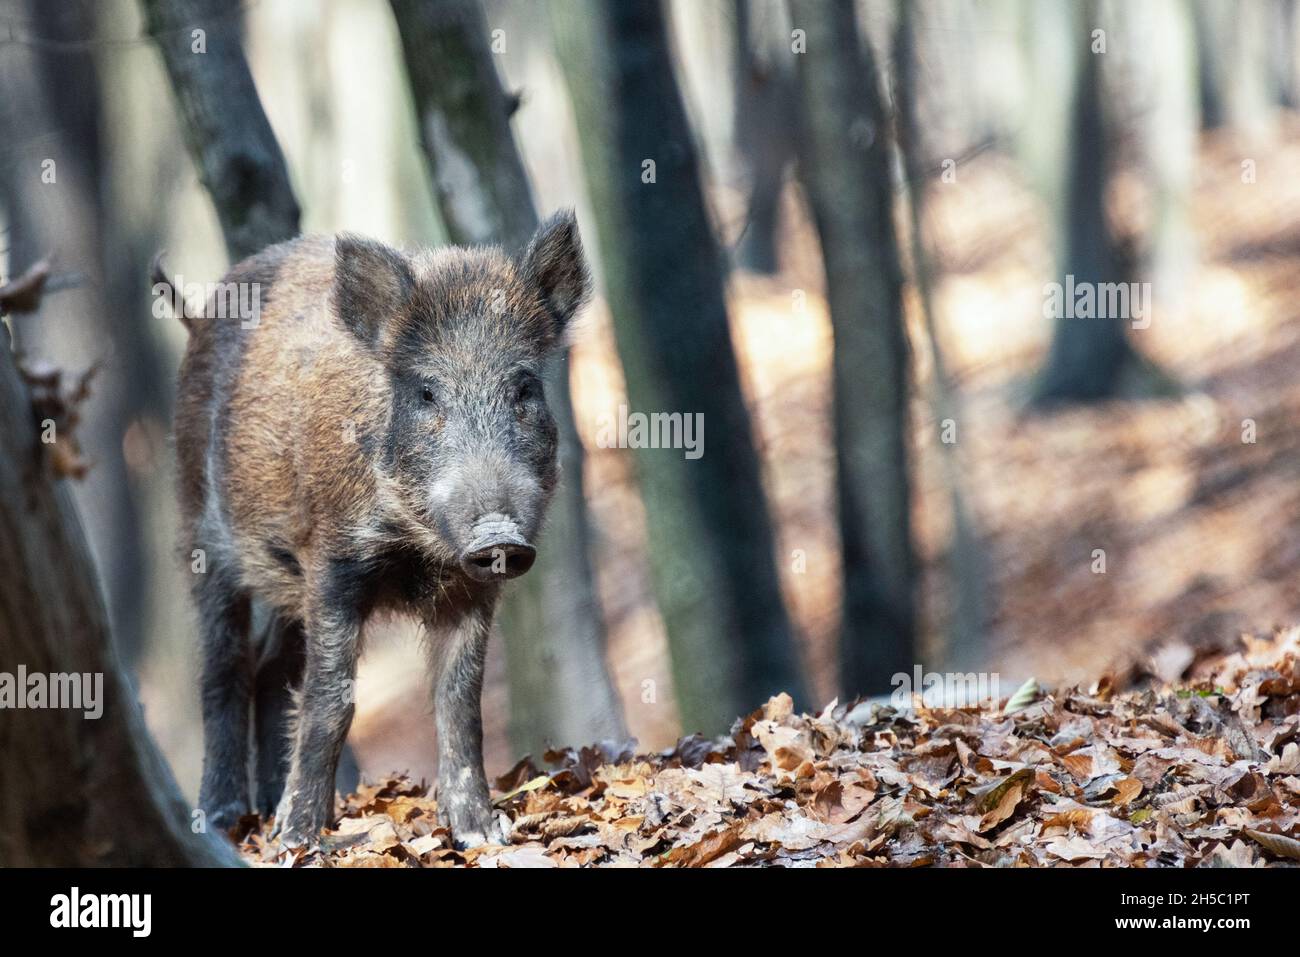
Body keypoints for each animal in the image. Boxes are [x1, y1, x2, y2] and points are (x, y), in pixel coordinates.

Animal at [164, 211, 591, 847]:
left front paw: (481, 835)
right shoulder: (331, 561)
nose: (497, 534)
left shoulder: (471, 589)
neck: (415, 547)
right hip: (205, 536)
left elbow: (460, 700)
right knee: (224, 670)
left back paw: (266, 813)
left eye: (525, 388)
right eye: (426, 392)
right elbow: (331, 699)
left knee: (272, 673)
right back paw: (223, 822)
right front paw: (299, 842)